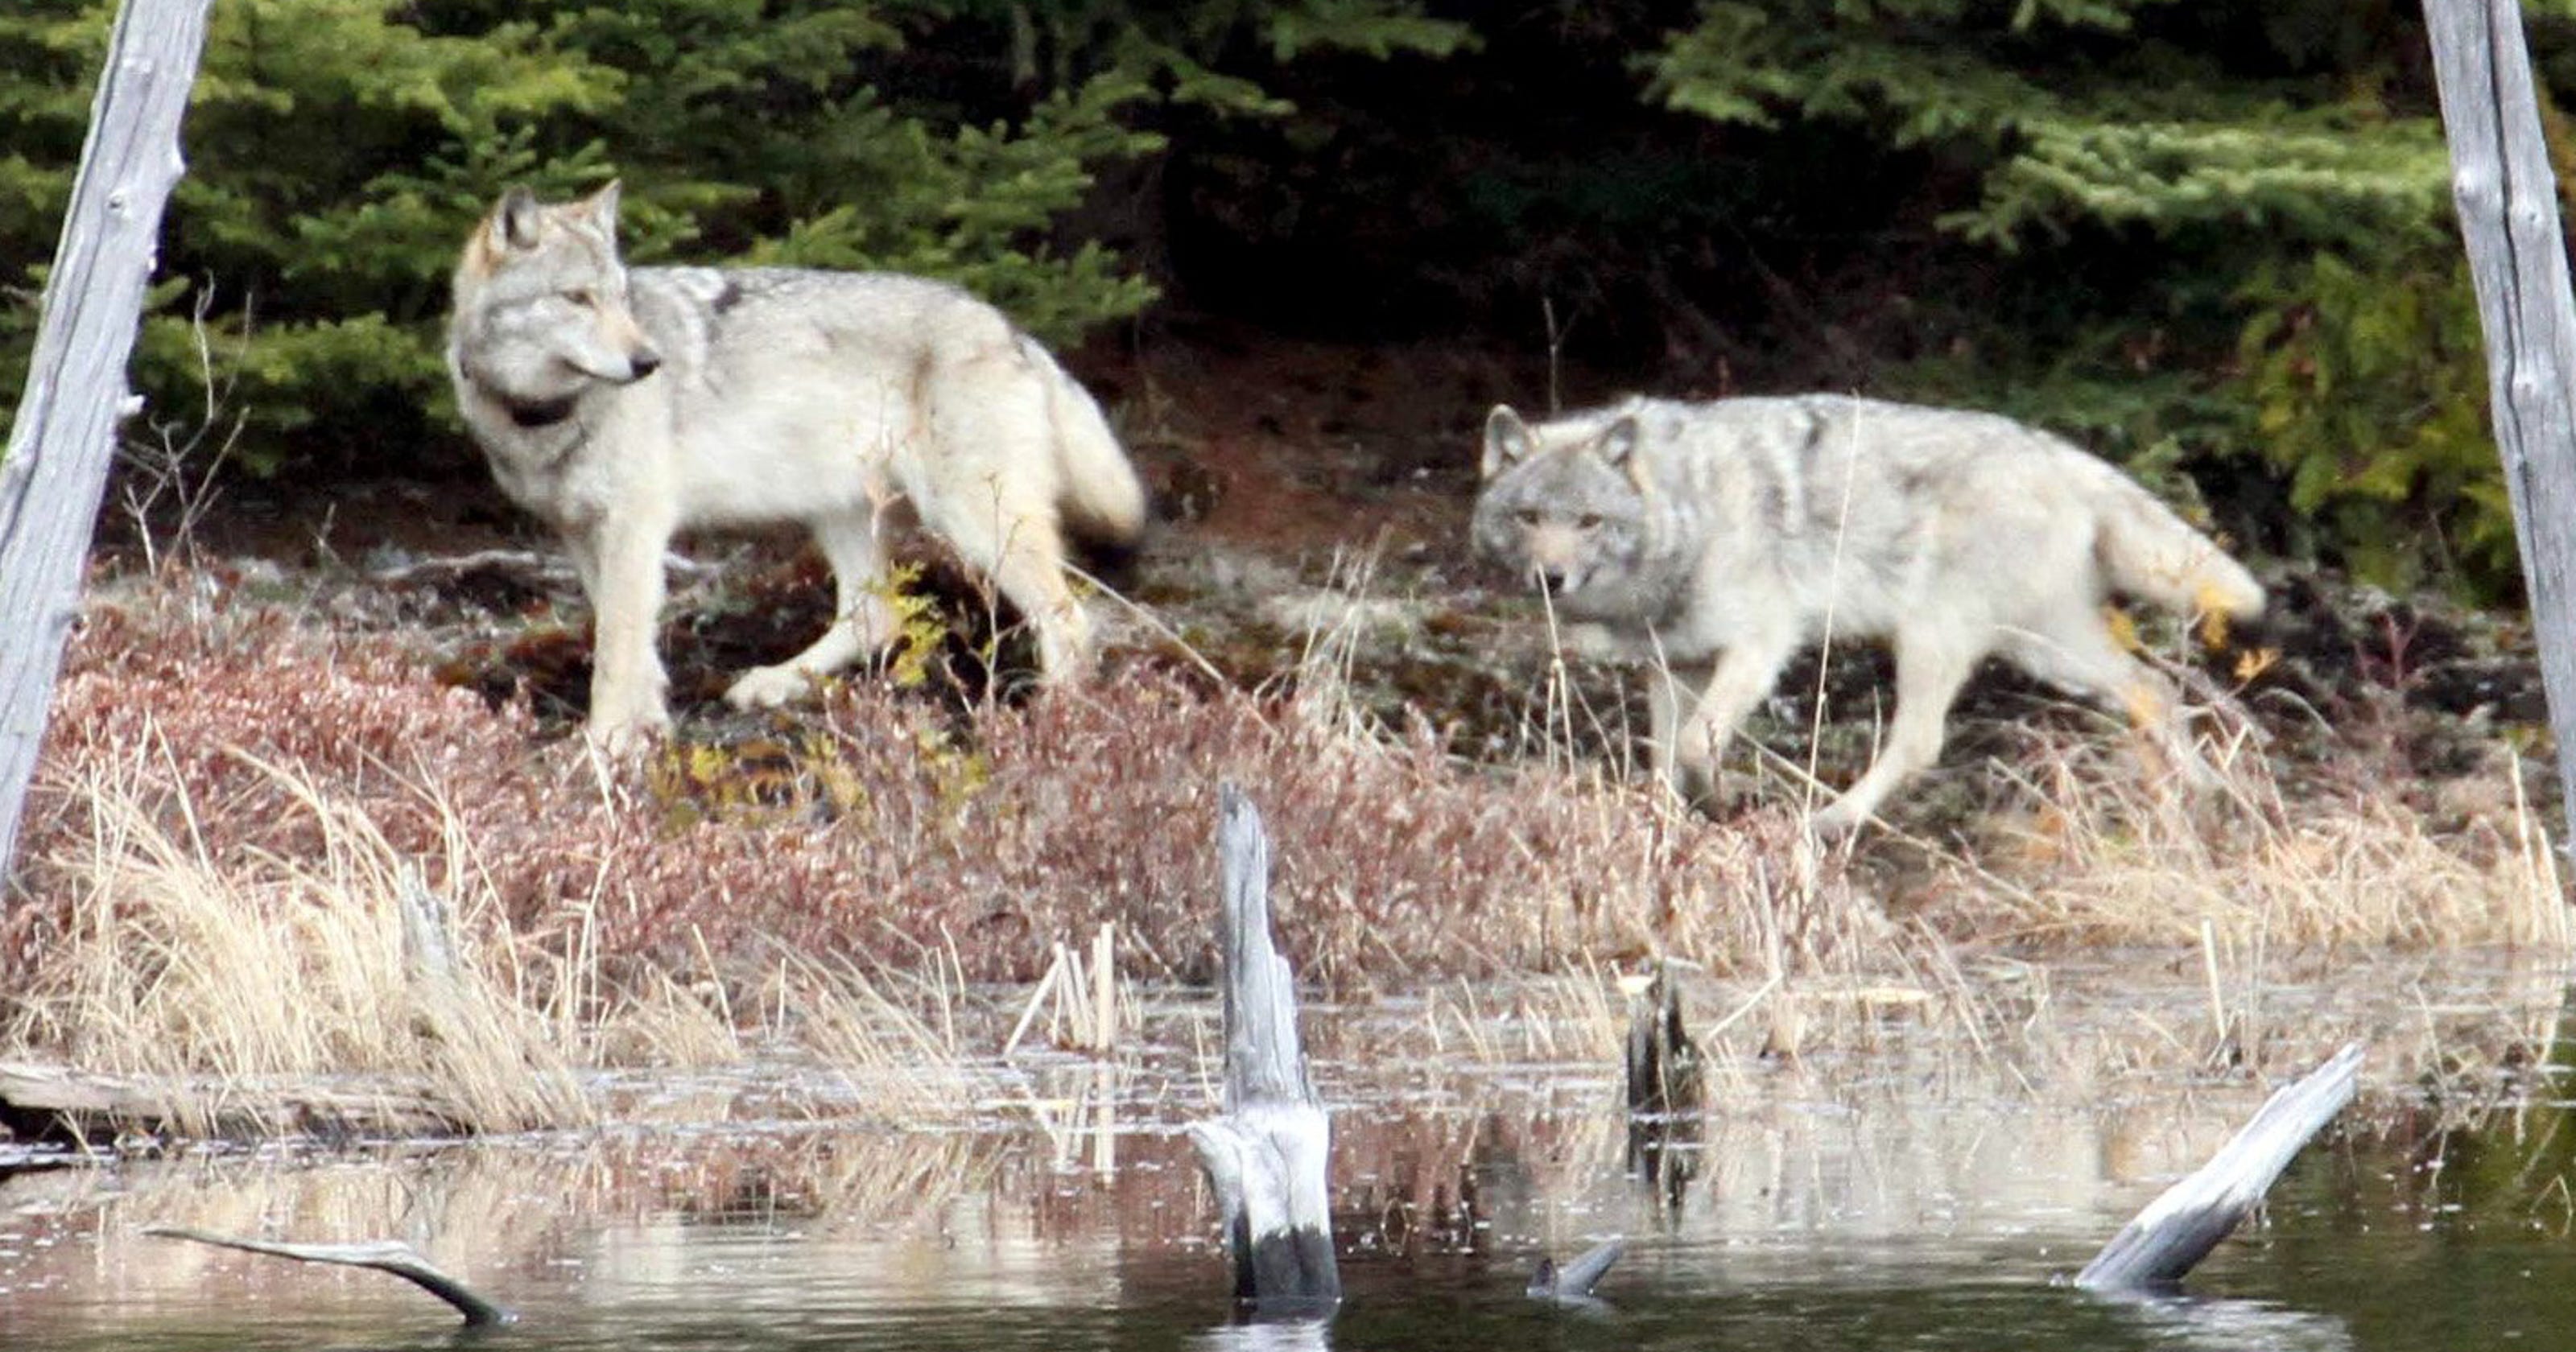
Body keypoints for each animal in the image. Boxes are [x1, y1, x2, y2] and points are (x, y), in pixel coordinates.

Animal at [446, 182, 1148, 743]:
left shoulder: (636, 529)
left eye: (619, 298)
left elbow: (616, 650)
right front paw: (649, 728)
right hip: (839, 513)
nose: (648, 363)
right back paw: (775, 683)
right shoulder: (581, 534)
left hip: (973, 521)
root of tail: (1012, 330)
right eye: (576, 298)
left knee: (1070, 618)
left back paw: (1053, 723)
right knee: (875, 615)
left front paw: (607, 743)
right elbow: (633, 645)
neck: (545, 413)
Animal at [1472, 394, 2264, 835]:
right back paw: (2202, 796)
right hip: (2047, 649)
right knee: (2154, 690)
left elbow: (1698, 748)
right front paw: (1662, 836)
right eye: (1531, 517)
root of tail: (2062, 453)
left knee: (1921, 744)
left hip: (1936, 641)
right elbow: (1663, 765)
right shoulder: (1674, 667)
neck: (1686, 511)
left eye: (1590, 521)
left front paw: (1722, 800)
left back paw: (1832, 821)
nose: (1550, 578)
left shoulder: (1761, 647)